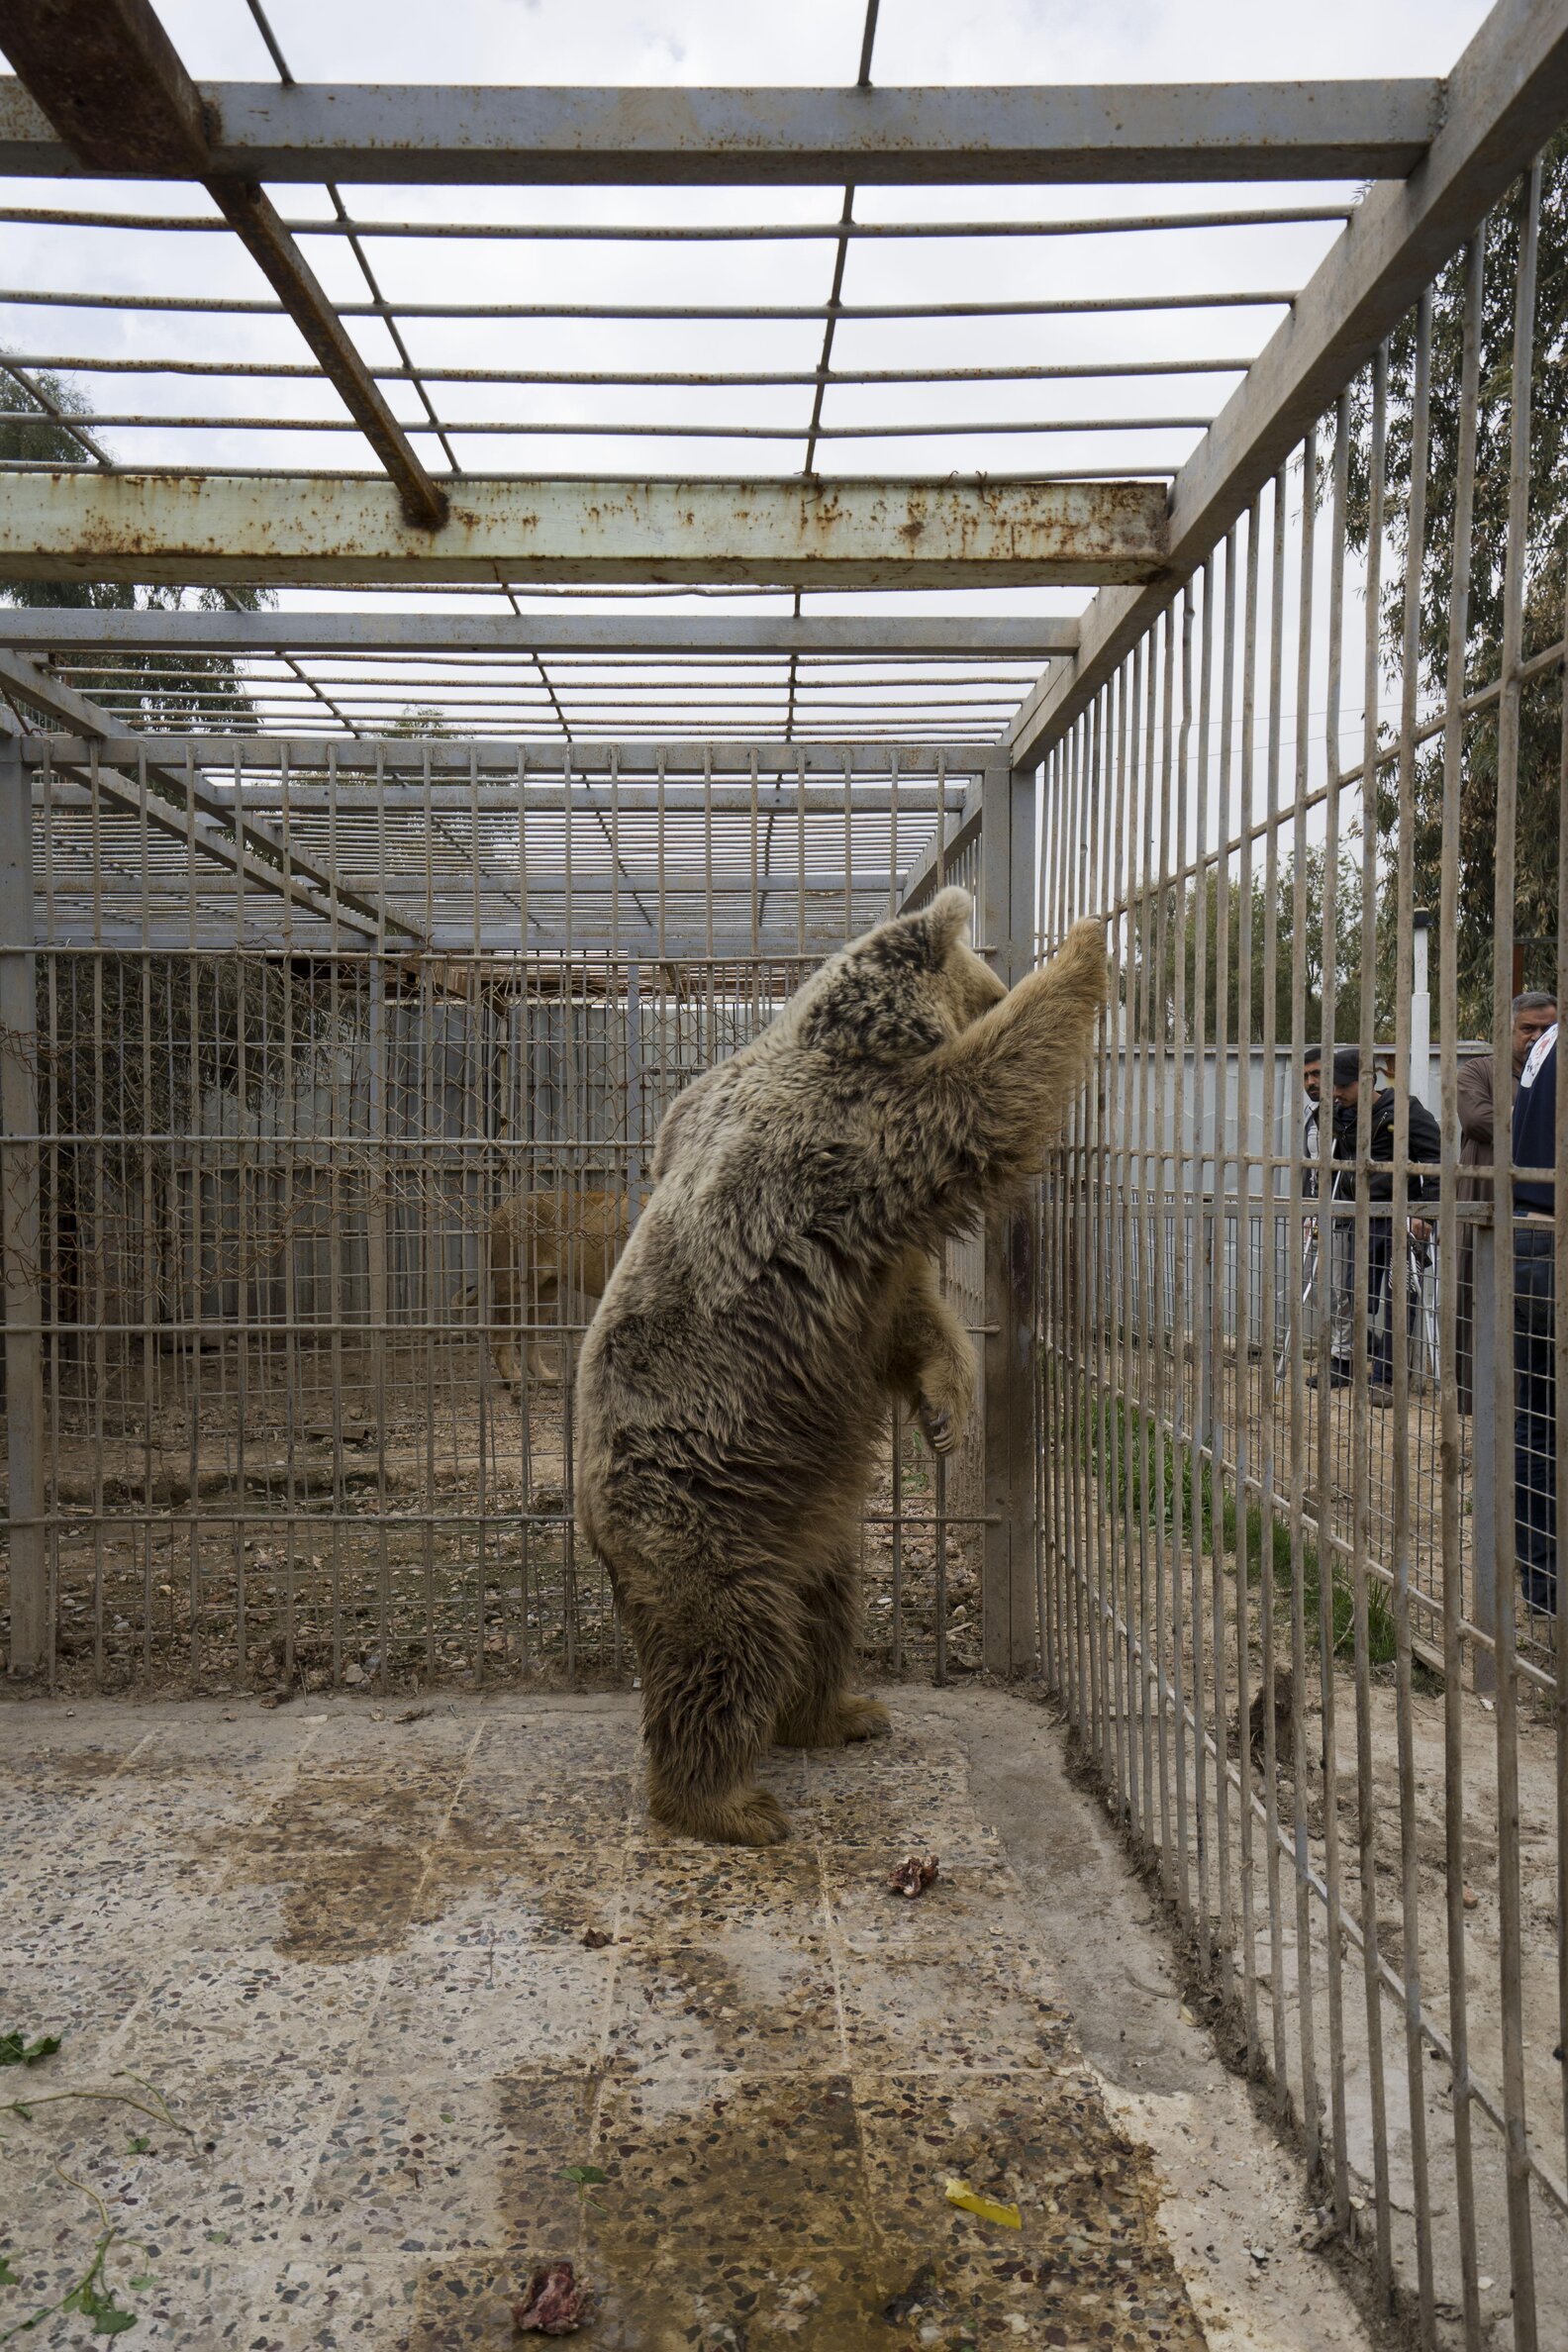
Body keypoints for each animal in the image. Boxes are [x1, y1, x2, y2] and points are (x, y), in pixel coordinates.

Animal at [575, 888, 1109, 1847]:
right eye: (988, 982)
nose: (1002, 978)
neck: (857, 1043)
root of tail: (590, 1521)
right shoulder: (859, 1140)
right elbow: (991, 1095)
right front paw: (1085, 948)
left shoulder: (866, 1260)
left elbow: (913, 1325)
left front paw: (947, 1411)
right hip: (698, 1514)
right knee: (727, 1646)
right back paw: (729, 1802)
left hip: (804, 1523)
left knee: (821, 1614)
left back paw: (842, 1711)